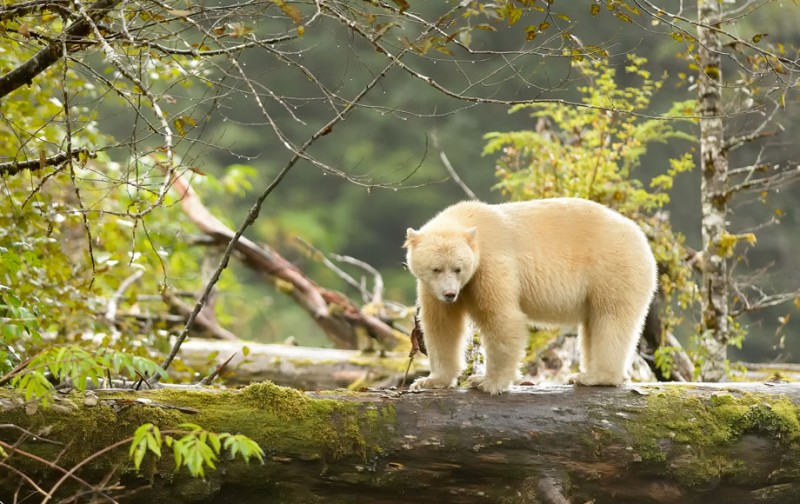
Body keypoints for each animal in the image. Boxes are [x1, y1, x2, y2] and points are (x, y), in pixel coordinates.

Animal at [404, 198, 657, 395]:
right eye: (436, 269)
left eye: (458, 268)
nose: (449, 294)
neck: (470, 220)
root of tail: (642, 238)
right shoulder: (432, 288)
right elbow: (442, 326)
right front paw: (429, 381)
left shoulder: (491, 263)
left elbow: (502, 318)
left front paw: (487, 382)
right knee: (593, 323)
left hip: (613, 267)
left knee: (611, 317)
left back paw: (595, 377)